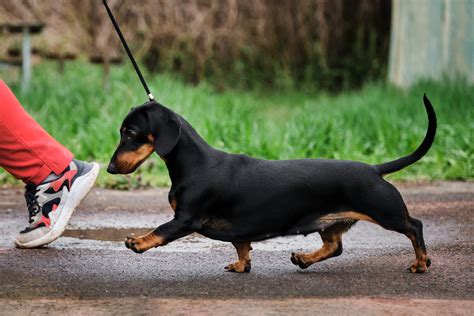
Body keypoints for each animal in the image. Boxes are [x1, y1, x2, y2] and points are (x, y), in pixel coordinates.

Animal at [108, 95, 436, 272]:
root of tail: (374, 169)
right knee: (334, 246)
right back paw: (303, 258)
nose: (110, 167)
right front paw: (241, 266)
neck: (195, 164)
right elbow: (242, 247)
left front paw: (138, 241)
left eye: (130, 133)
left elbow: (162, 230)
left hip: (386, 212)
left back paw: (421, 263)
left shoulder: (186, 218)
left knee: (415, 226)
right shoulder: (238, 229)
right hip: (330, 223)